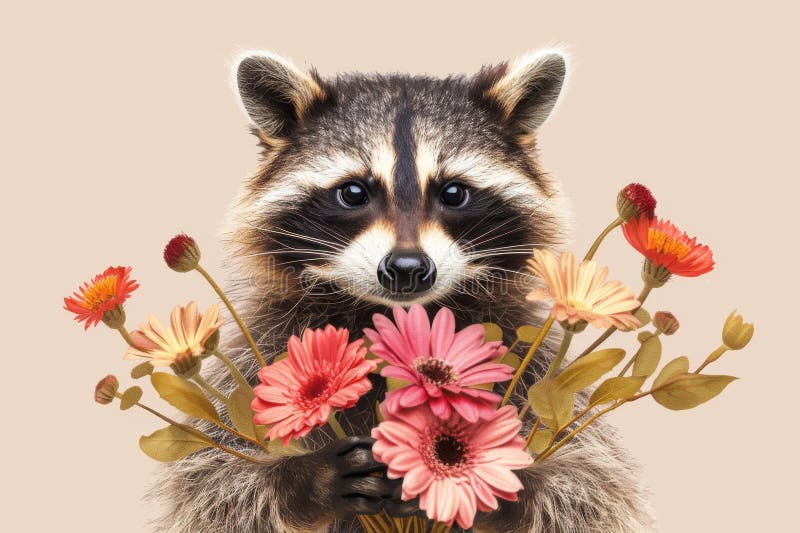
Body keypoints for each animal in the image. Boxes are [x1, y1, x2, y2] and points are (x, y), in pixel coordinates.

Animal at [151, 50, 654, 532]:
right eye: (353, 192)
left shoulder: (530, 362)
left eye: (454, 193)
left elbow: (589, 486)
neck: (400, 320)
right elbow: (216, 482)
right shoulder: (264, 356)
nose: (407, 269)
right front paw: (306, 479)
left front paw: (497, 484)